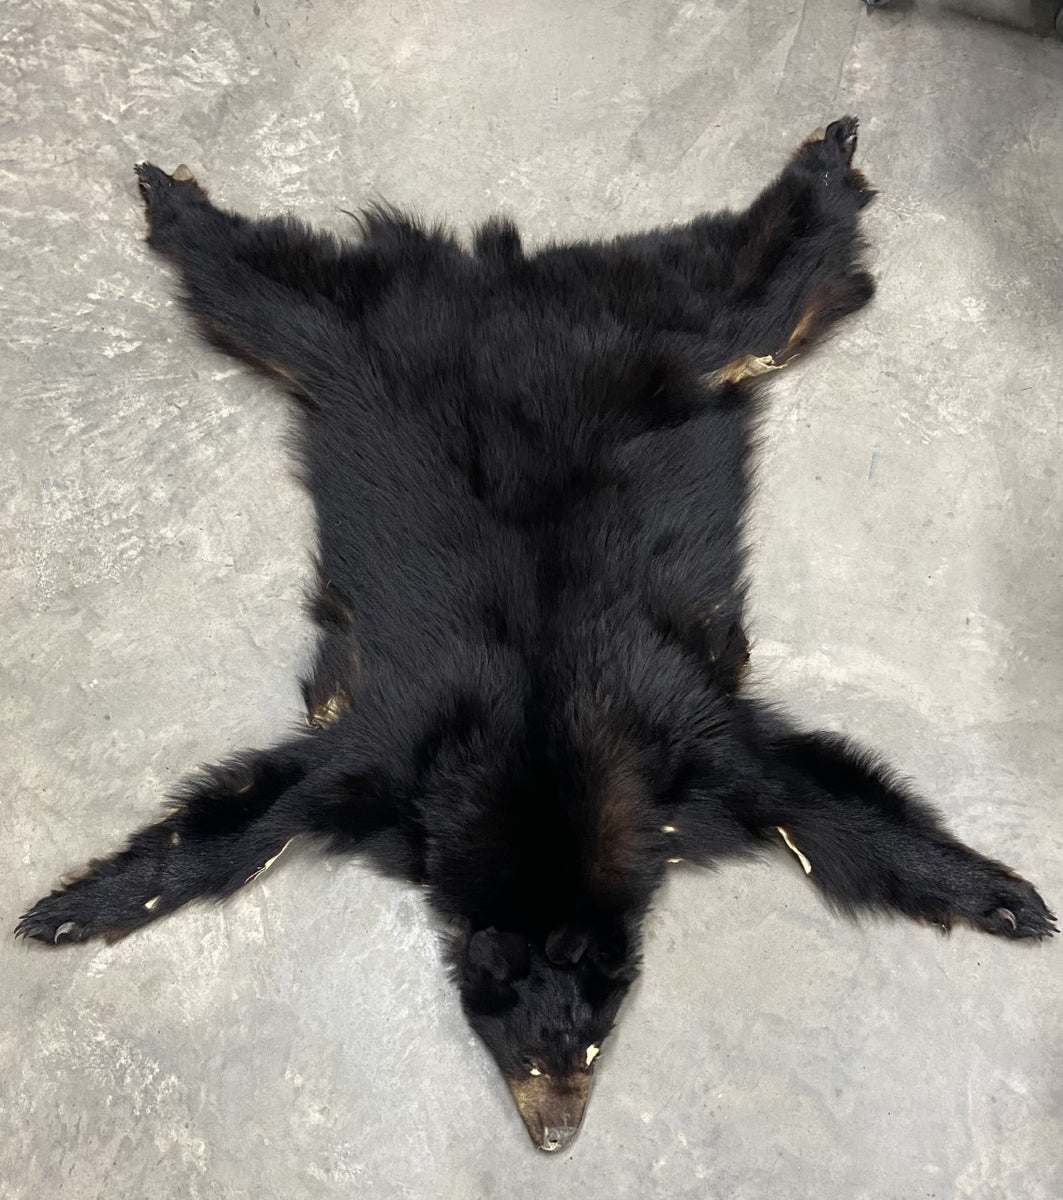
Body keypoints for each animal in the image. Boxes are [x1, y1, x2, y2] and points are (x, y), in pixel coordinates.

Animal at [17, 117, 1055, 1153]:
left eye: (591, 1045)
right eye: (516, 1051)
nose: (555, 1138)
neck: (542, 783)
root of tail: (507, 279)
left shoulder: (683, 748)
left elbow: (818, 800)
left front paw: (1006, 900)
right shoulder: (394, 761)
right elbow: (258, 813)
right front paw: (70, 909)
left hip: (673, 338)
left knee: (765, 293)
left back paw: (827, 157)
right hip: (361, 345)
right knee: (260, 291)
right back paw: (170, 193)